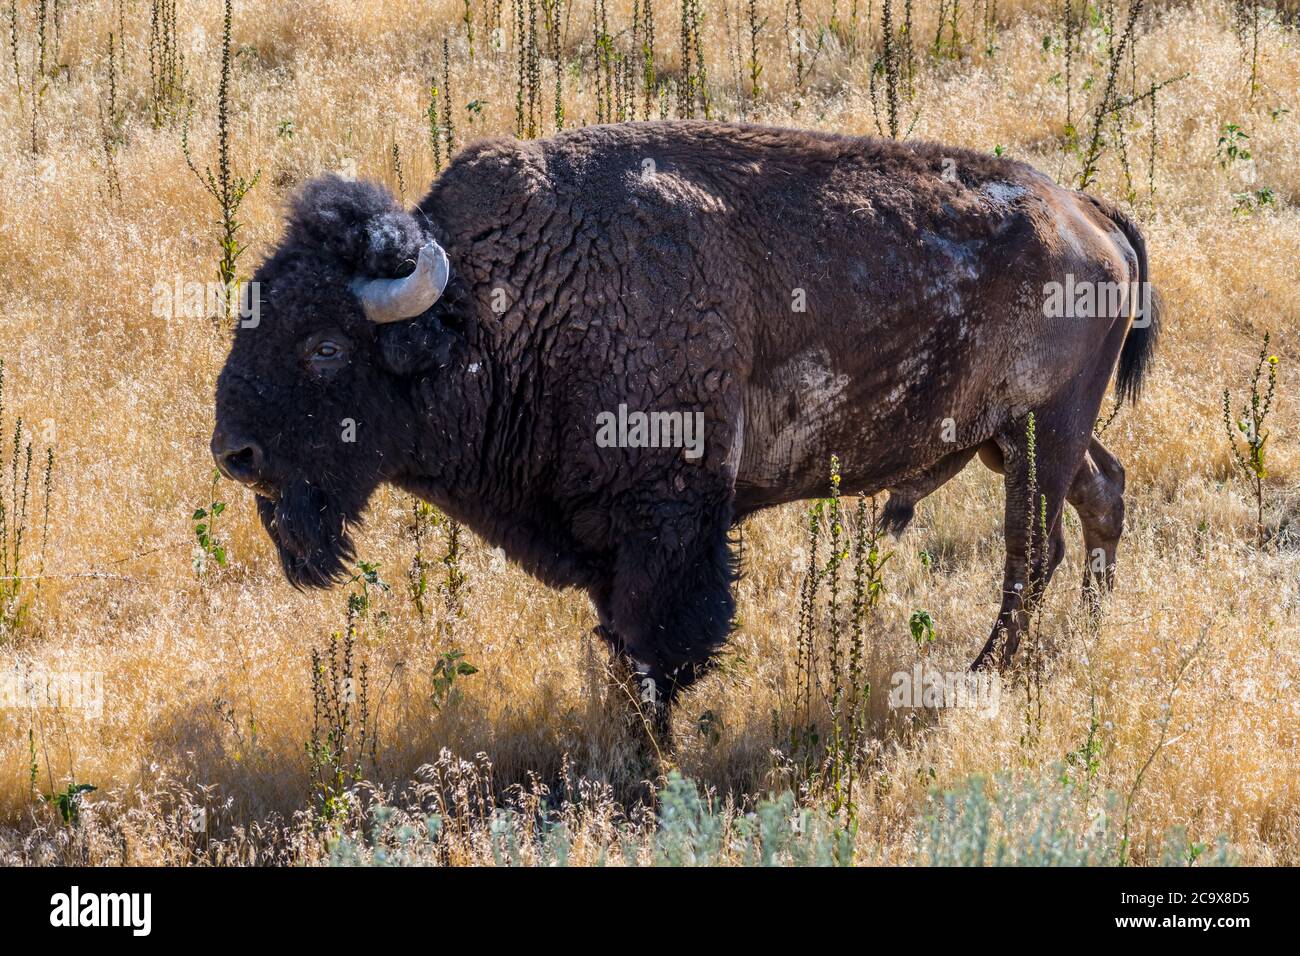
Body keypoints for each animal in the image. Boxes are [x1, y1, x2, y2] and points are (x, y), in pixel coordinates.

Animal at [211, 120, 1159, 734]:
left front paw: (649, 761)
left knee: (1031, 553)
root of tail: (1089, 215)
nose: (235, 453)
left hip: (1041, 432)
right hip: (1015, 440)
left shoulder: (669, 530)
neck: (497, 307)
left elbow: (657, 648)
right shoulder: (604, 539)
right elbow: (622, 647)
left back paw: (974, 679)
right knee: (1103, 494)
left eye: (327, 344)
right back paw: (1090, 626)